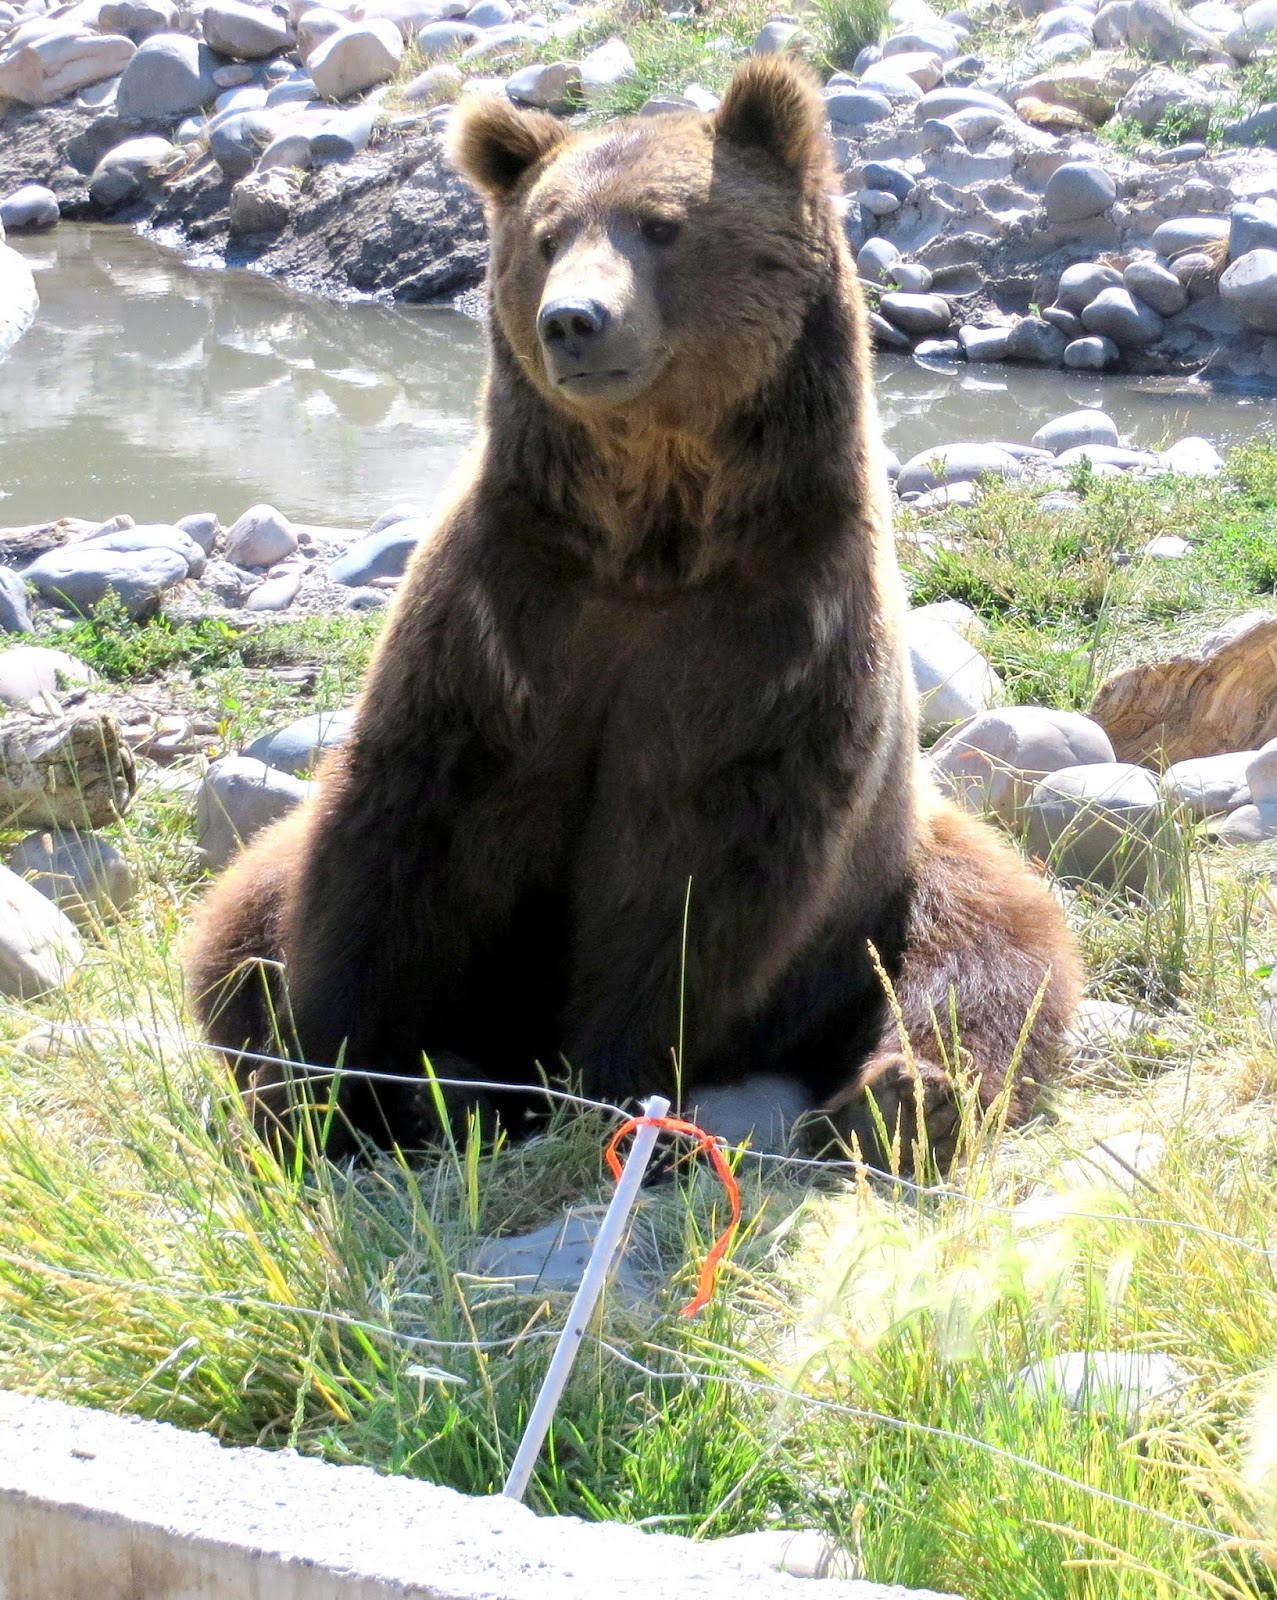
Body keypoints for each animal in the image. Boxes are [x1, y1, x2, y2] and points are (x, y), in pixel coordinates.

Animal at [185, 55, 1082, 1170]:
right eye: (545, 235)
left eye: (661, 224)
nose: (573, 320)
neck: (650, 538)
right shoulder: (507, 611)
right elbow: (402, 836)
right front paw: (343, 1088)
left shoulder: (770, 633)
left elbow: (690, 878)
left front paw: (604, 1082)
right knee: (240, 922)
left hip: (900, 875)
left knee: (986, 959)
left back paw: (899, 1095)